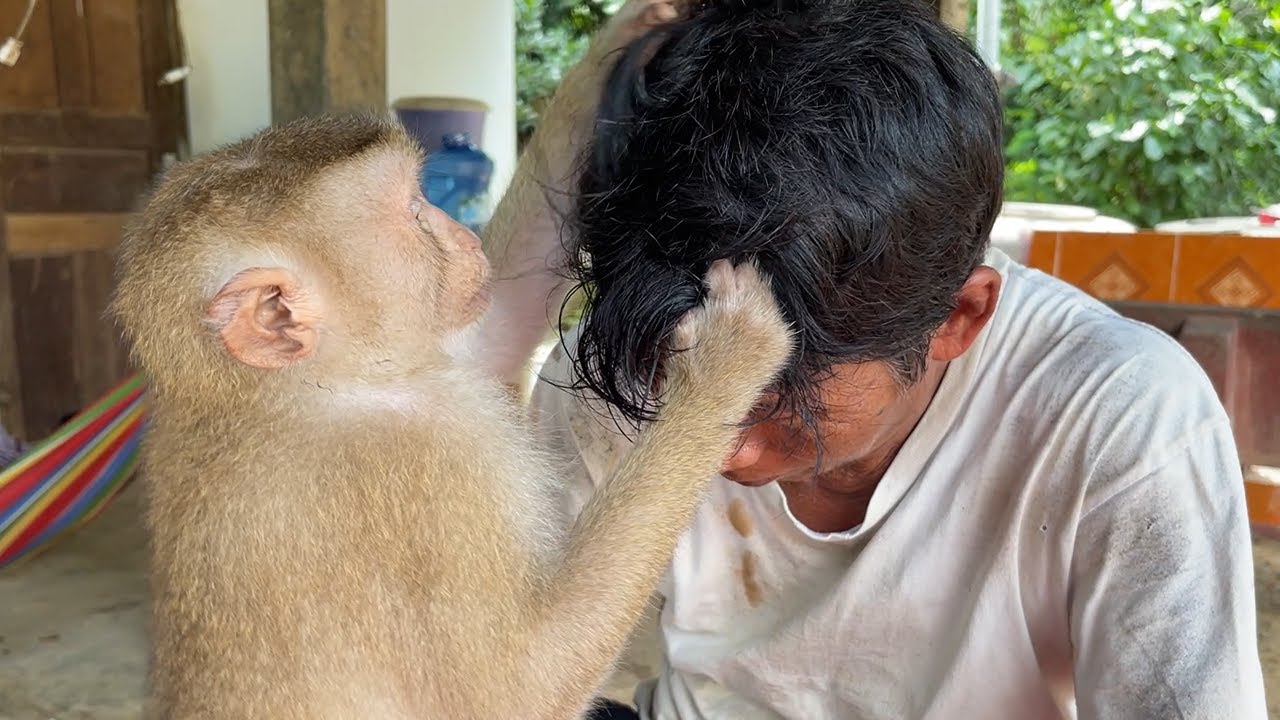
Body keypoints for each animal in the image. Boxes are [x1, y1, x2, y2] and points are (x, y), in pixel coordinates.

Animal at [110, 117, 791, 720]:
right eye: (415, 209)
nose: (463, 236)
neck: (267, 395)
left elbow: (494, 333)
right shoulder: (425, 469)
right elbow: (518, 691)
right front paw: (724, 364)